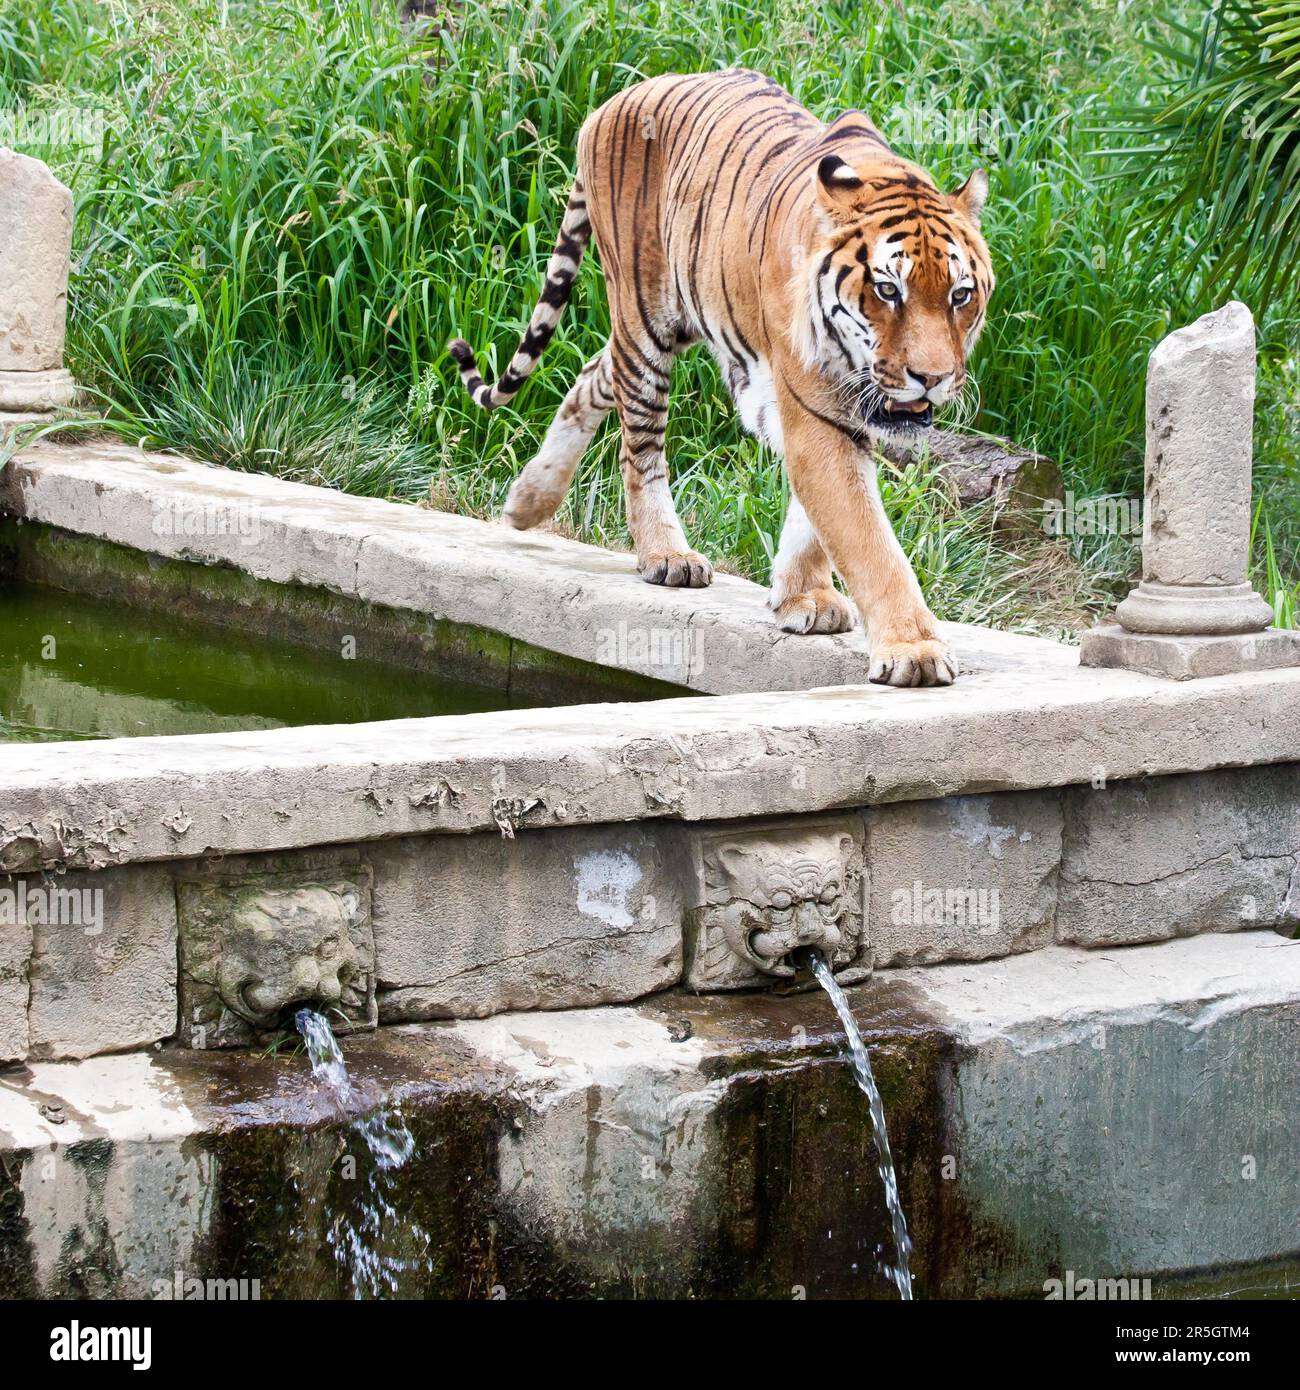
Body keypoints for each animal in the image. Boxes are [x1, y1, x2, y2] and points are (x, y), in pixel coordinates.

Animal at [448, 68, 994, 687]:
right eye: (887, 289)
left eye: (960, 295)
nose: (932, 377)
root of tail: (616, 99)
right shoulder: (814, 409)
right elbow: (868, 538)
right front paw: (915, 650)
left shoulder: (840, 412)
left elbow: (816, 520)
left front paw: (803, 597)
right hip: (646, 320)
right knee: (639, 447)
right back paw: (665, 555)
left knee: (593, 372)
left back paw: (528, 502)